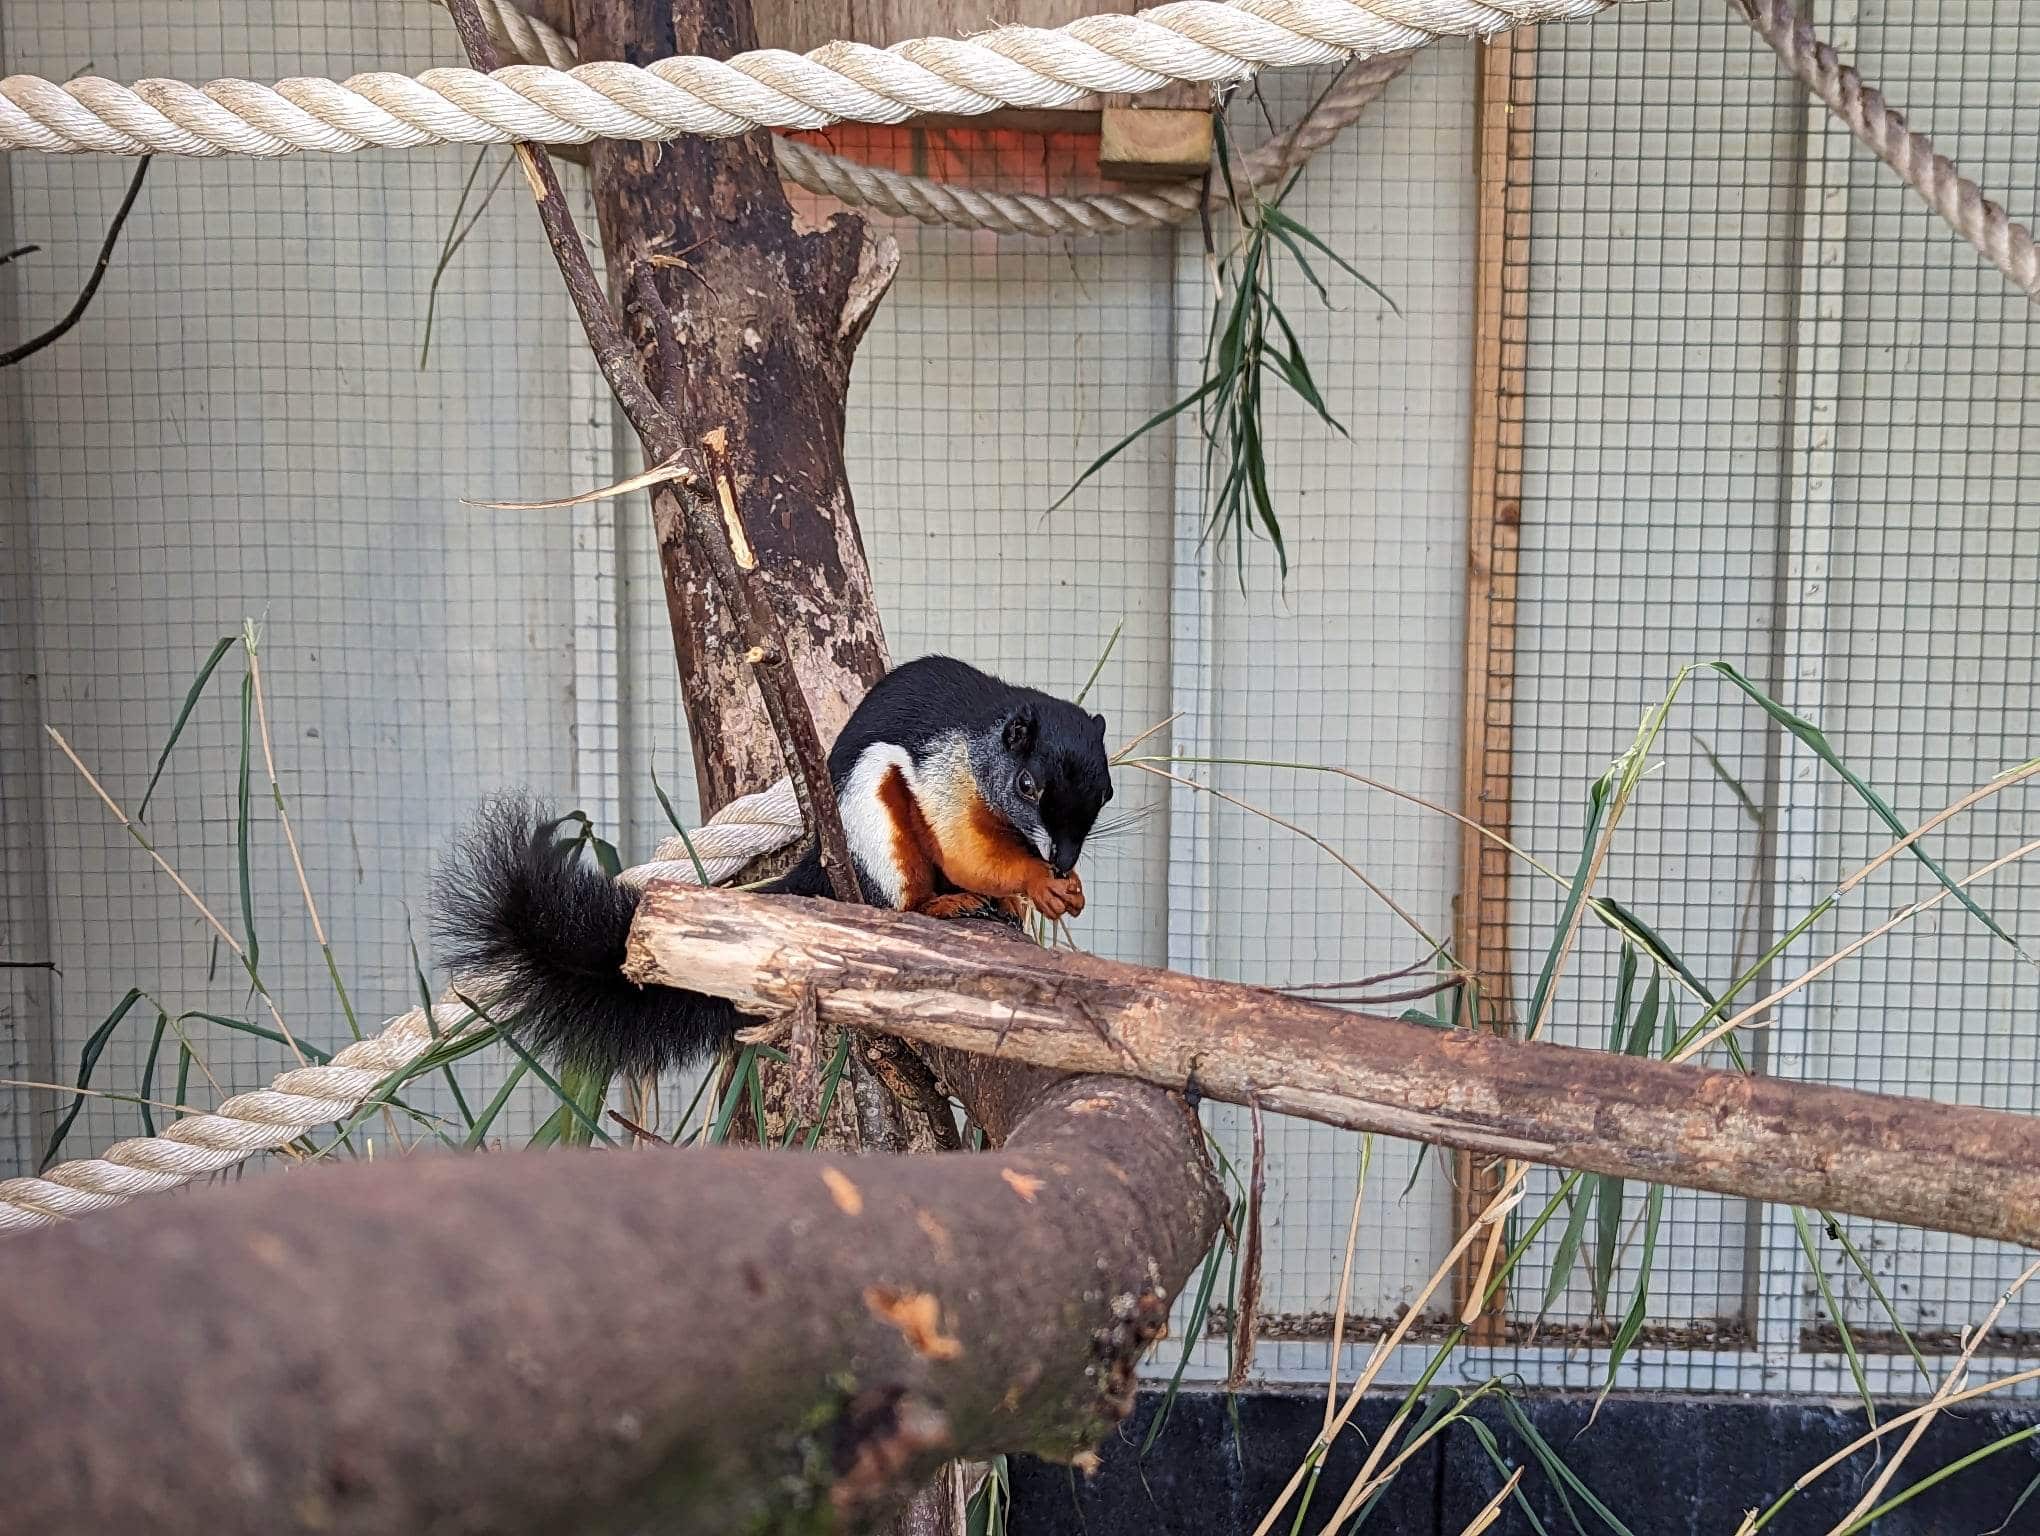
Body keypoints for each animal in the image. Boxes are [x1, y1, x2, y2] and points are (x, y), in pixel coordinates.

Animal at [433, 655, 1114, 1082]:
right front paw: (1037, 883)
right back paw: (941, 904)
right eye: (1027, 785)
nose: (1063, 859)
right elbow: (965, 849)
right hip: (872, 828)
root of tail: (823, 864)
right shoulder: (944, 775)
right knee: (901, 894)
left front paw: (1061, 888)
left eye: (1106, 793)